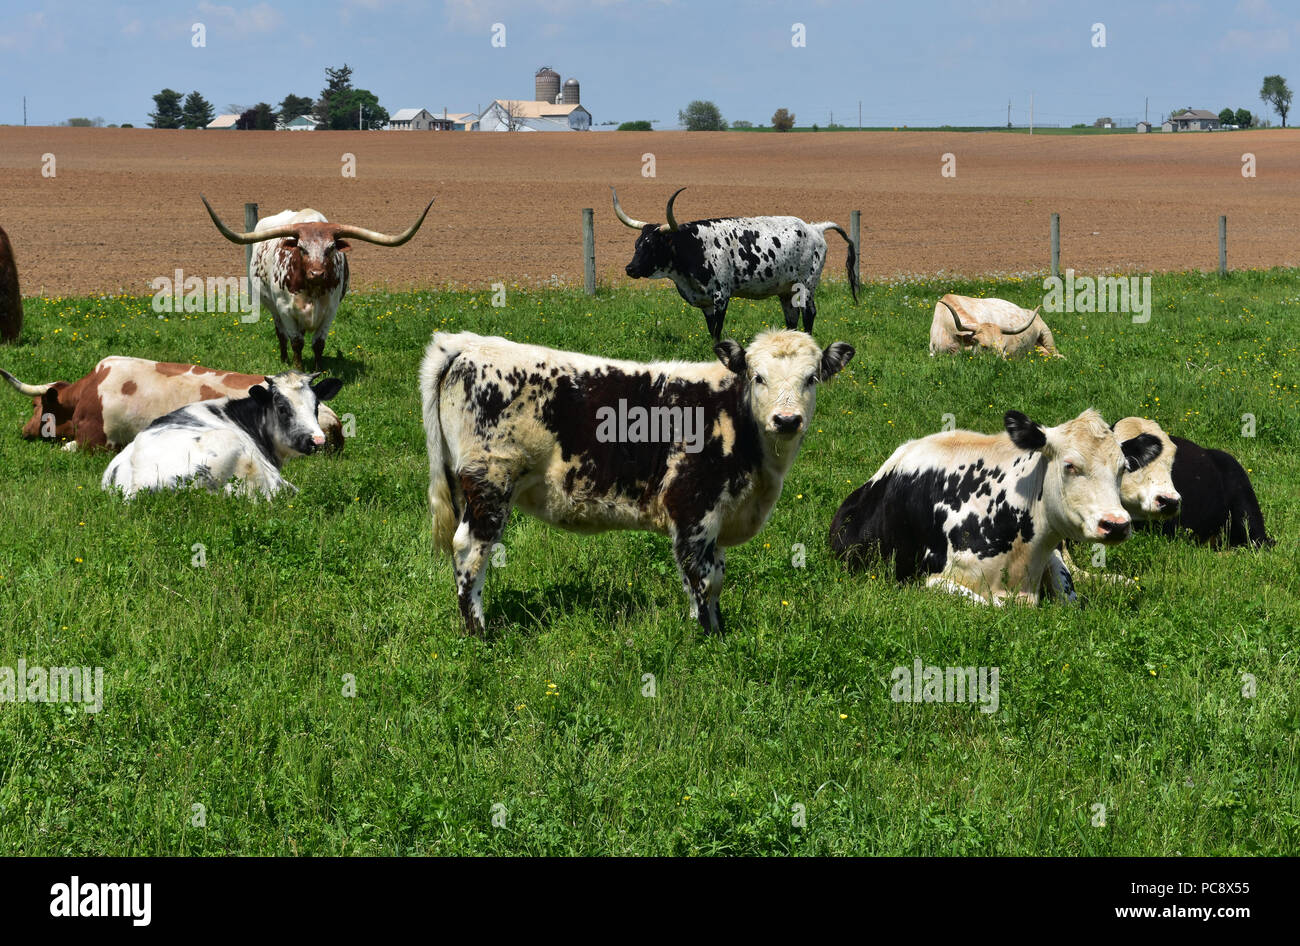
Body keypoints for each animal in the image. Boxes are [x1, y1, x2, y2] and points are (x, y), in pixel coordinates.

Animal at [201, 195, 433, 371]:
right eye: (301, 248)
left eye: (330, 248)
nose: (317, 273)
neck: (311, 291)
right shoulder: (285, 309)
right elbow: (296, 341)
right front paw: (298, 368)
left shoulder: (330, 310)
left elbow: (318, 343)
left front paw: (319, 369)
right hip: (273, 309)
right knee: (281, 335)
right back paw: (284, 359)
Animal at [421, 328, 855, 635]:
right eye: (758, 377)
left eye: (811, 378)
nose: (787, 420)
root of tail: (469, 343)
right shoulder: (693, 508)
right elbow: (703, 578)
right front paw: (707, 637)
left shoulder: (717, 516)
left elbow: (715, 576)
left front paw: (717, 628)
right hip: (490, 481)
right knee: (471, 551)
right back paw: (479, 632)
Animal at [611, 187, 858, 341]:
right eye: (637, 244)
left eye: (652, 246)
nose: (630, 268)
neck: (694, 247)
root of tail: (815, 227)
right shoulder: (706, 302)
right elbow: (711, 330)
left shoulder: (722, 295)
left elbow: (718, 330)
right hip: (786, 291)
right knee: (792, 318)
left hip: (806, 286)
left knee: (809, 314)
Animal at [828, 409, 1162, 605]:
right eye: (1070, 465)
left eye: (1123, 468)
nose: (1116, 524)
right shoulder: (929, 578)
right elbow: (994, 605)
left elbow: (1071, 598)